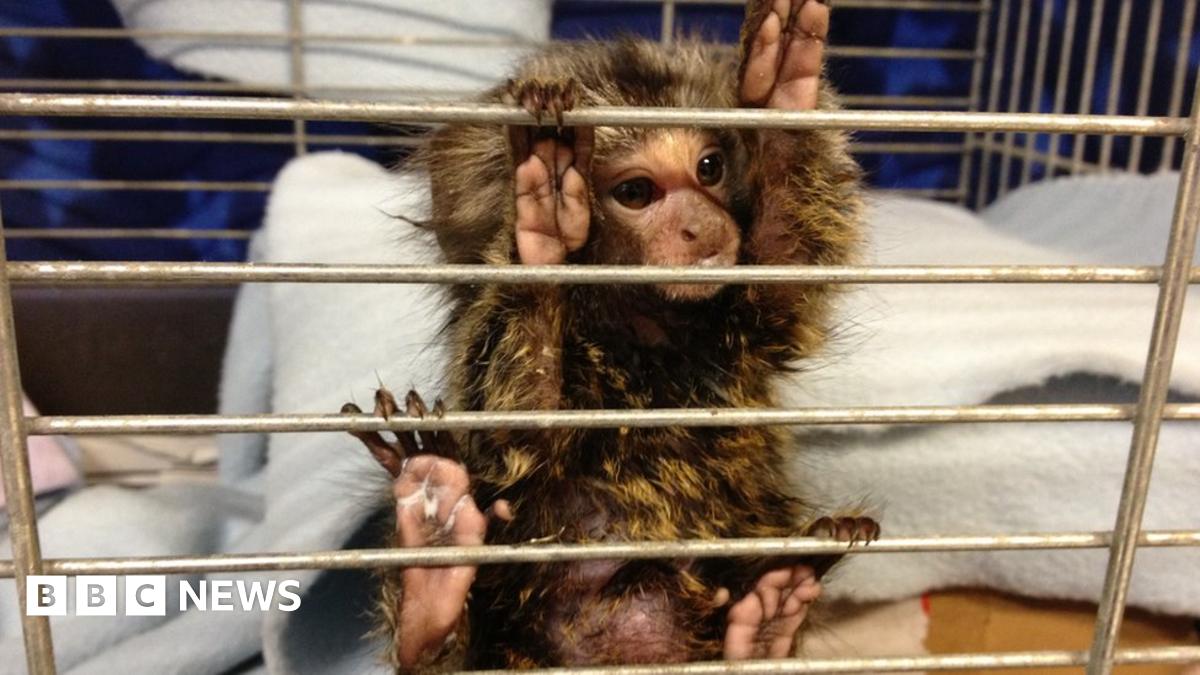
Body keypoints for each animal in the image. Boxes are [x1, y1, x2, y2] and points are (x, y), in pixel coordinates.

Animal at [341, 0, 878, 670]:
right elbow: (517, 438)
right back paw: (430, 581)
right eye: (635, 192)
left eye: (709, 168)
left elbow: (788, 266)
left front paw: (782, 93)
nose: (702, 226)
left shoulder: (741, 330)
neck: (642, 332)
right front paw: (541, 230)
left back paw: (767, 620)